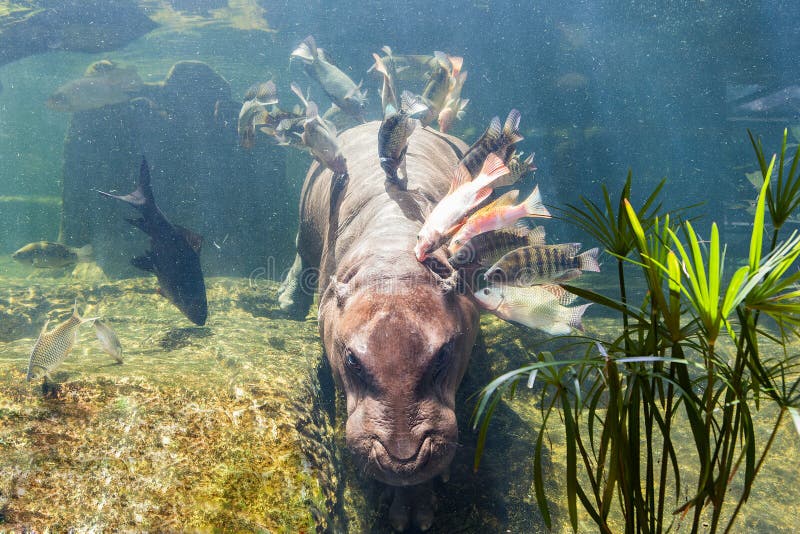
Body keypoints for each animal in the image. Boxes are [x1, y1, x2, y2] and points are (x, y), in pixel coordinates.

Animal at [279, 121, 480, 530]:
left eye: (444, 354)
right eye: (352, 360)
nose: (403, 460)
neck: (393, 255)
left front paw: (418, 510)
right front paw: (403, 509)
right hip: (305, 230)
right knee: (300, 252)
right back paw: (287, 303)